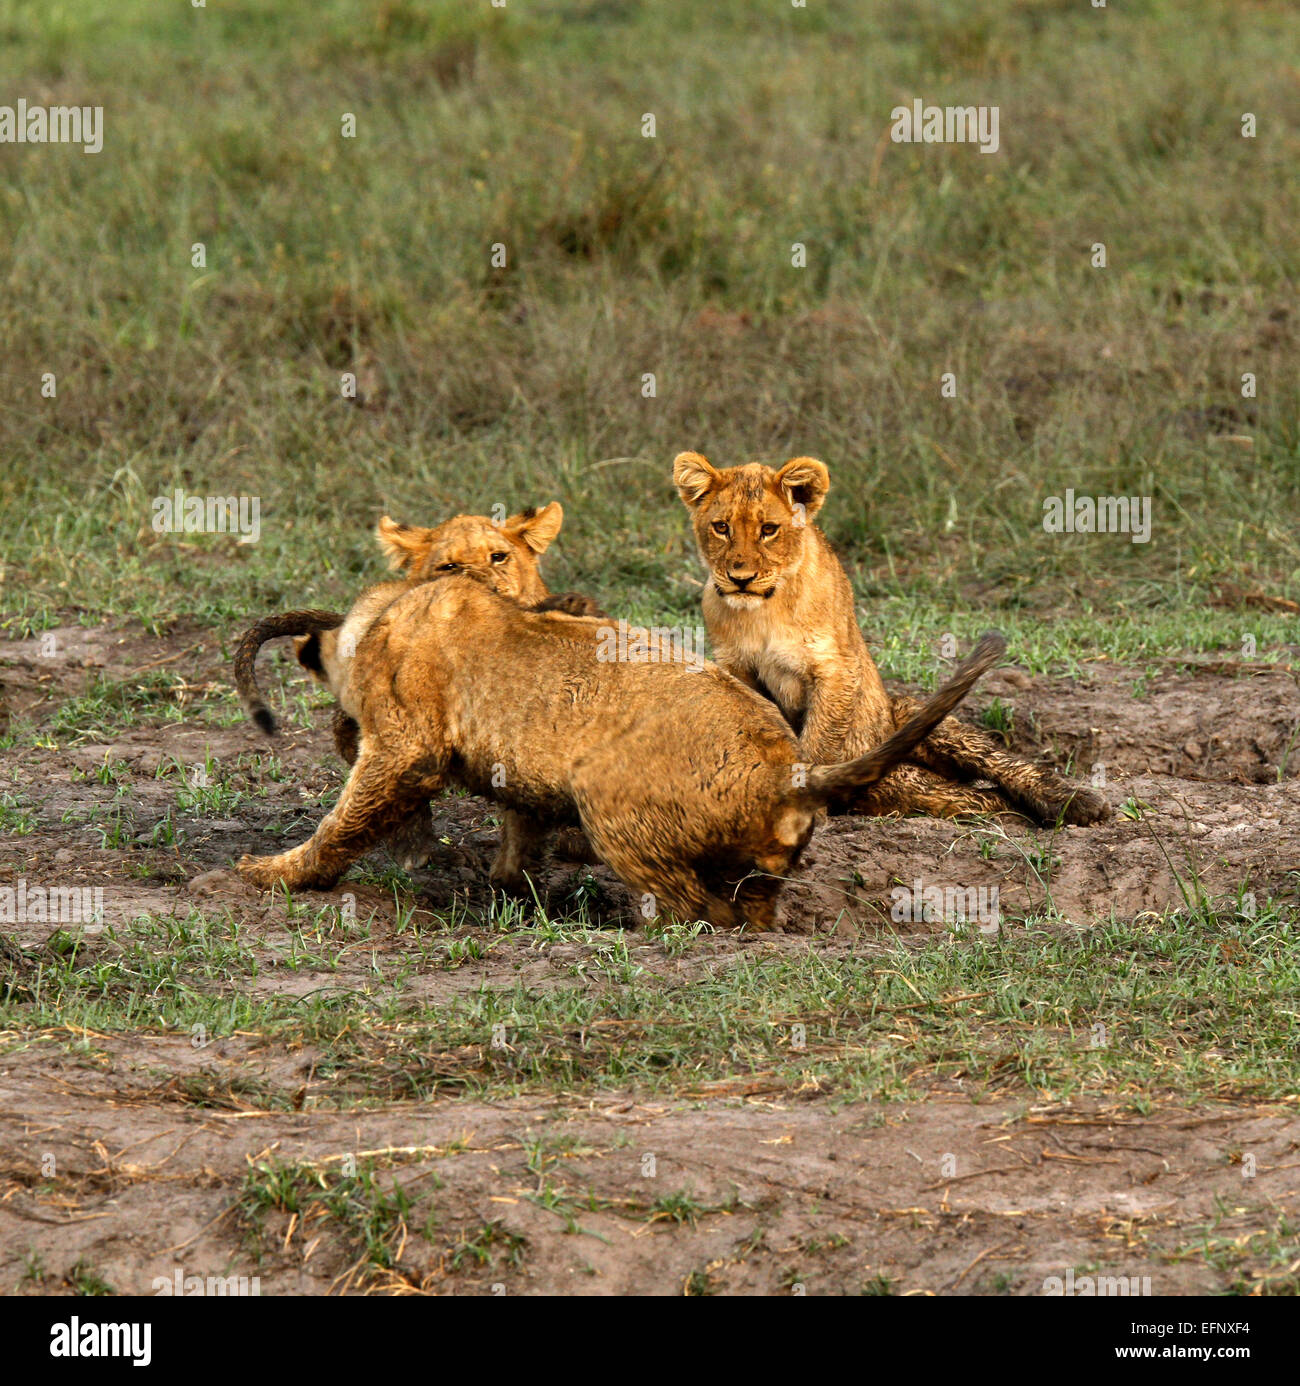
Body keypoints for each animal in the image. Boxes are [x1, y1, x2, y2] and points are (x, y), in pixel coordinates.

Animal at [235, 569, 1006, 930]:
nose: (340, 733)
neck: (389, 612)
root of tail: (787, 775)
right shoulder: (515, 777)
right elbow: (517, 832)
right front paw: (503, 885)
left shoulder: (405, 747)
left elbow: (342, 823)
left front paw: (275, 873)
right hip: (755, 868)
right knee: (749, 912)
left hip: (608, 799)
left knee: (697, 911)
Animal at [672, 452, 1110, 826]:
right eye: (721, 527)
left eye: (768, 530)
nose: (740, 578)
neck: (763, 610)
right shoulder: (735, 666)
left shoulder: (835, 669)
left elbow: (817, 742)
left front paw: (804, 804)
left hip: (920, 735)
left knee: (994, 778)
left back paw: (1075, 804)